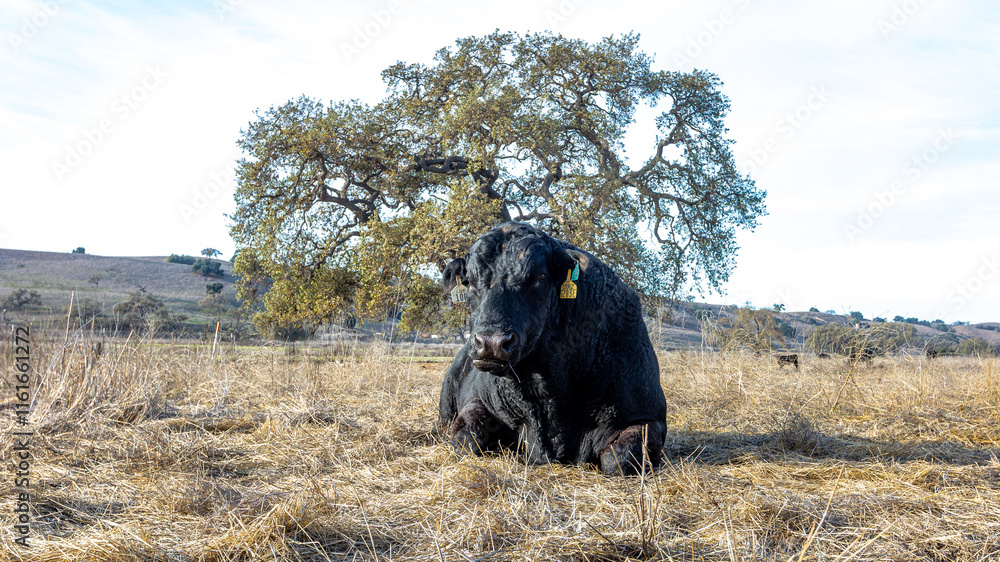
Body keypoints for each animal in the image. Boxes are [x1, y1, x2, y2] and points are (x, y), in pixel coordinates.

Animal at [438, 222, 667, 475]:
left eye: (540, 277)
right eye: (469, 281)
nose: (491, 342)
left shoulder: (648, 417)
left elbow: (620, 458)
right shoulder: (478, 402)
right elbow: (468, 439)